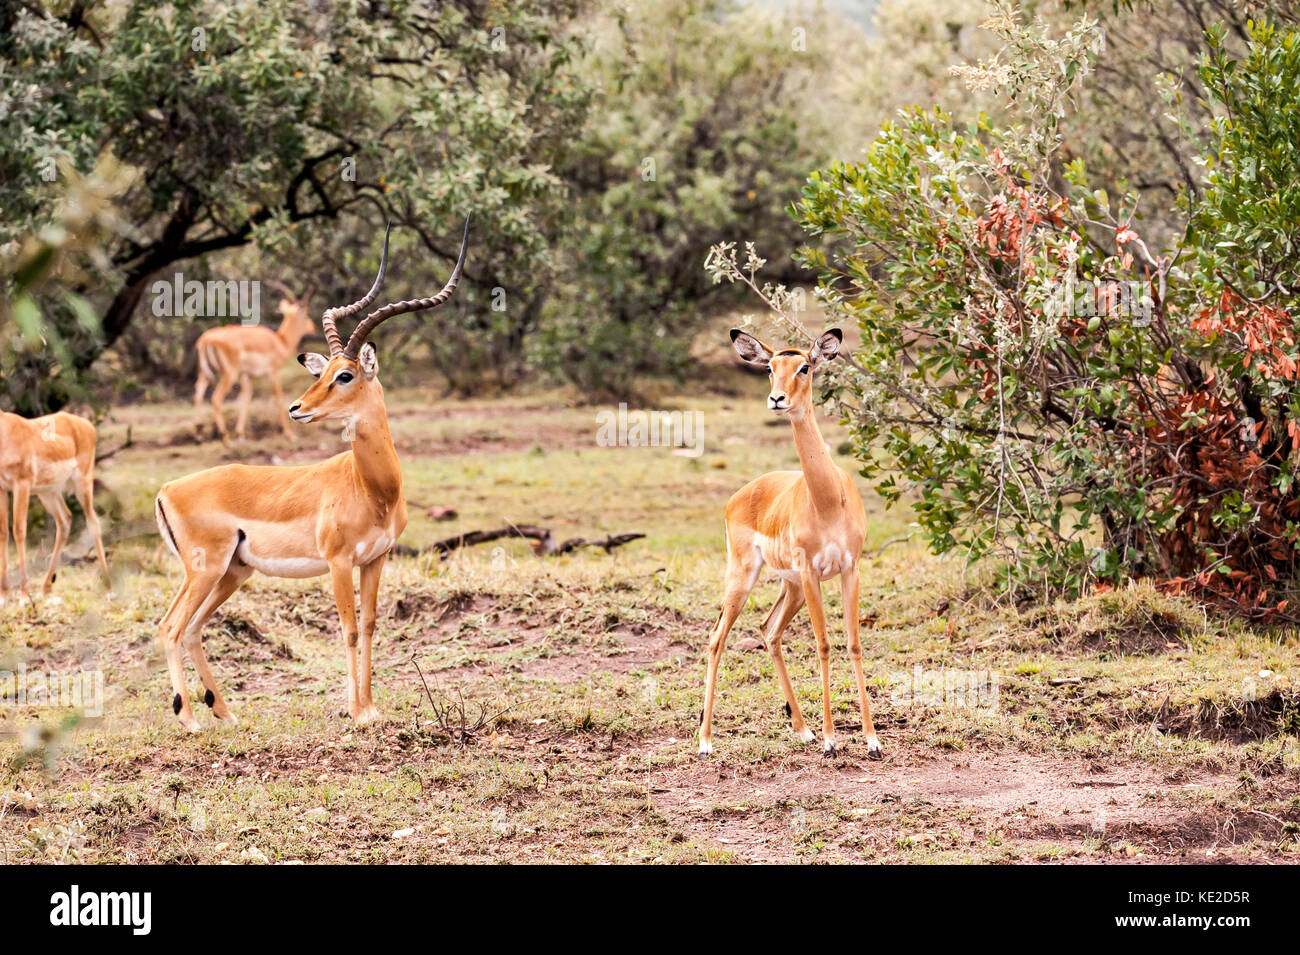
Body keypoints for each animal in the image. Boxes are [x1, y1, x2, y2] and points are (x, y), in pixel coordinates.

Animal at [0, 410, 110, 602]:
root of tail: (87, 425)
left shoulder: (22, 484)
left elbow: (19, 531)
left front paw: (23, 595)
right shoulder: (2, 488)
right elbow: (4, 533)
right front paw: (3, 595)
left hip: (83, 484)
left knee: (93, 522)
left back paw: (108, 587)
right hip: (48, 492)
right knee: (65, 520)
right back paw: (45, 588)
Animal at [193, 280, 317, 443]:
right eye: (306, 314)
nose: (314, 327)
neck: (281, 341)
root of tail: (205, 340)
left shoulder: (247, 376)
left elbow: (245, 400)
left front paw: (240, 434)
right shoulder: (273, 373)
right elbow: (278, 399)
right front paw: (290, 434)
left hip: (205, 374)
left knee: (198, 394)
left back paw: (199, 434)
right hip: (229, 375)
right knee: (215, 399)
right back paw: (225, 438)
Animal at [698, 328, 882, 759]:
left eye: (805, 367)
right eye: (769, 367)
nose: (778, 399)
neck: (828, 499)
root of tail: (740, 494)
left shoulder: (850, 569)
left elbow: (853, 644)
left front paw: (871, 740)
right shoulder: (813, 573)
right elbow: (824, 644)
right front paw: (832, 739)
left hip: (791, 587)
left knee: (769, 631)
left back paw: (803, 729)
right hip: (745, 577)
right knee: (716, 638)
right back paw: (705, 742)